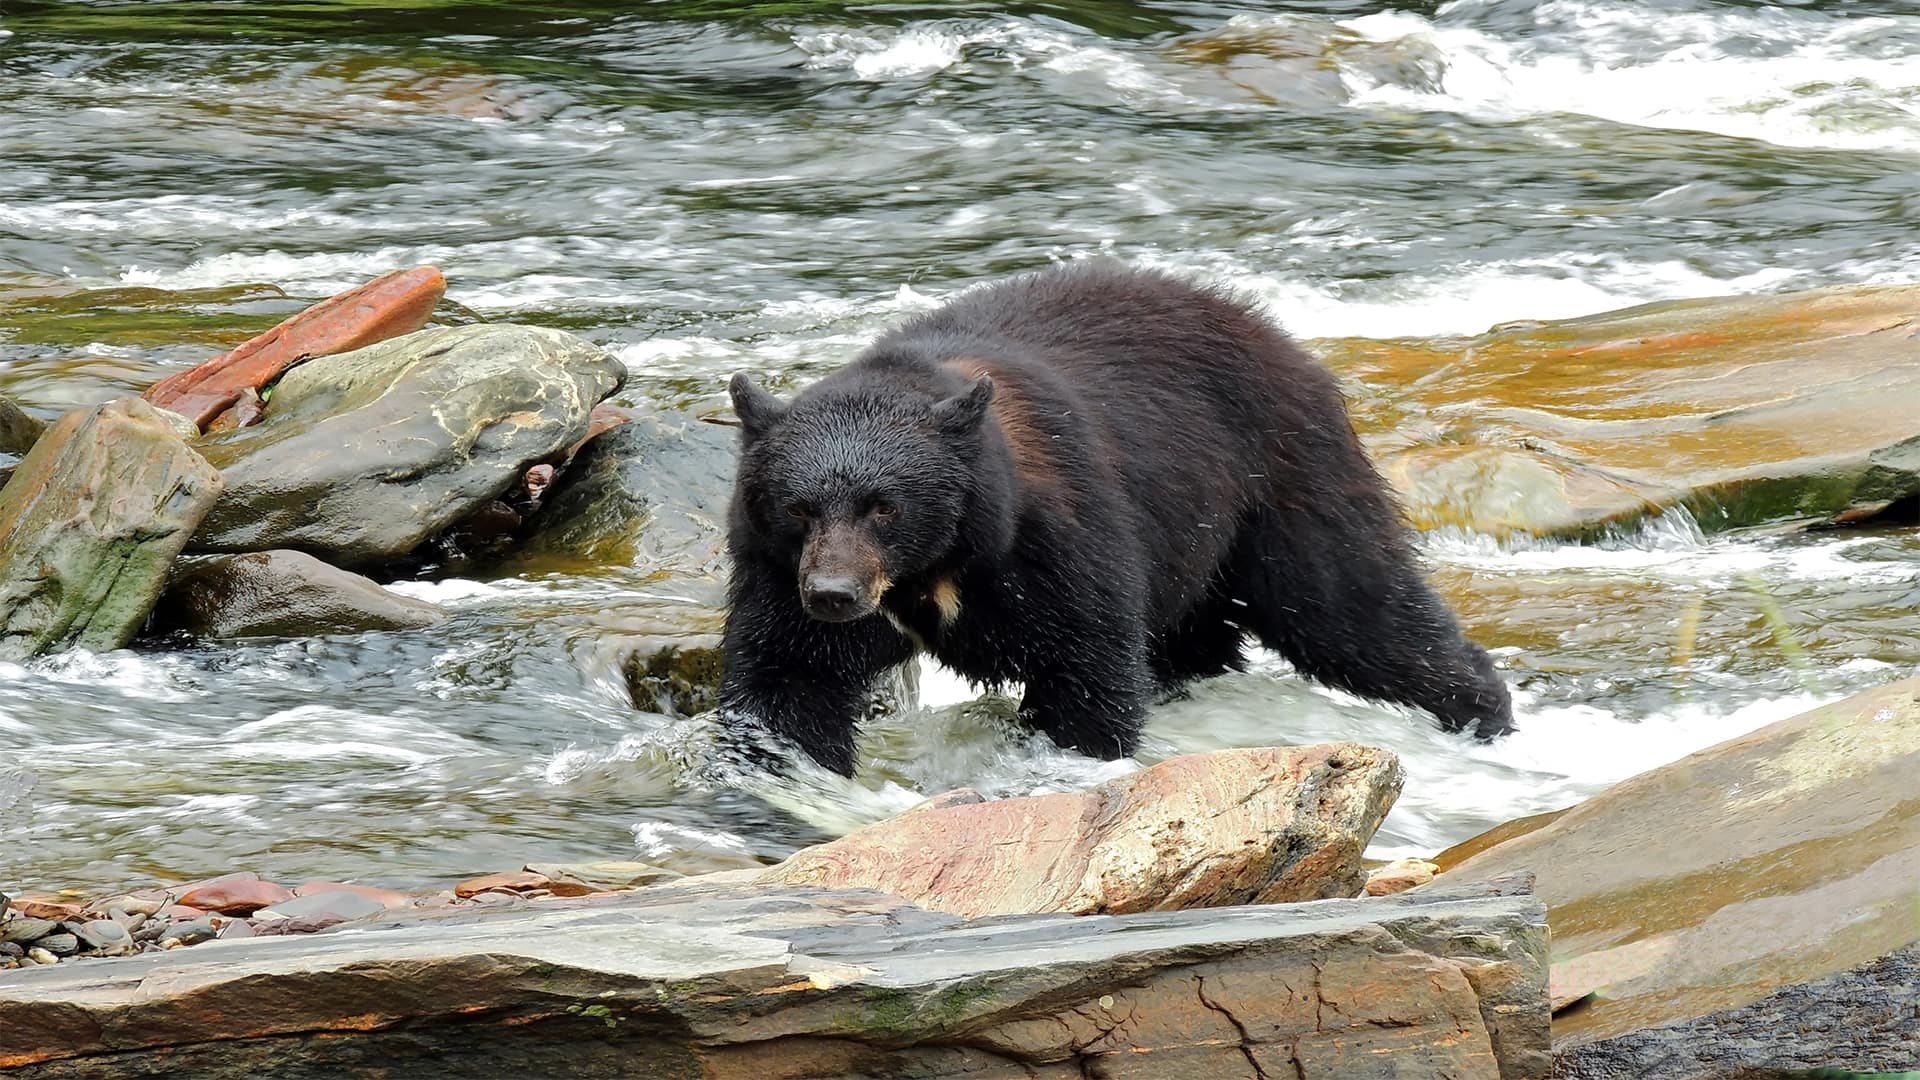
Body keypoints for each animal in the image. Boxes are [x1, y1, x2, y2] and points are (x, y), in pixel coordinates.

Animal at [720, 261, 1512, 776]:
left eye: (885, 506)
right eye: (798, 507)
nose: (834, 595)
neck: (935, 570)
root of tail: (1280, 337)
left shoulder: (1055, 538)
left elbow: (1084, 666)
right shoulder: (775, 569)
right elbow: (789, 679)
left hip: (1279, 478)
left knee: (1348, 607)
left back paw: (1483, 710)